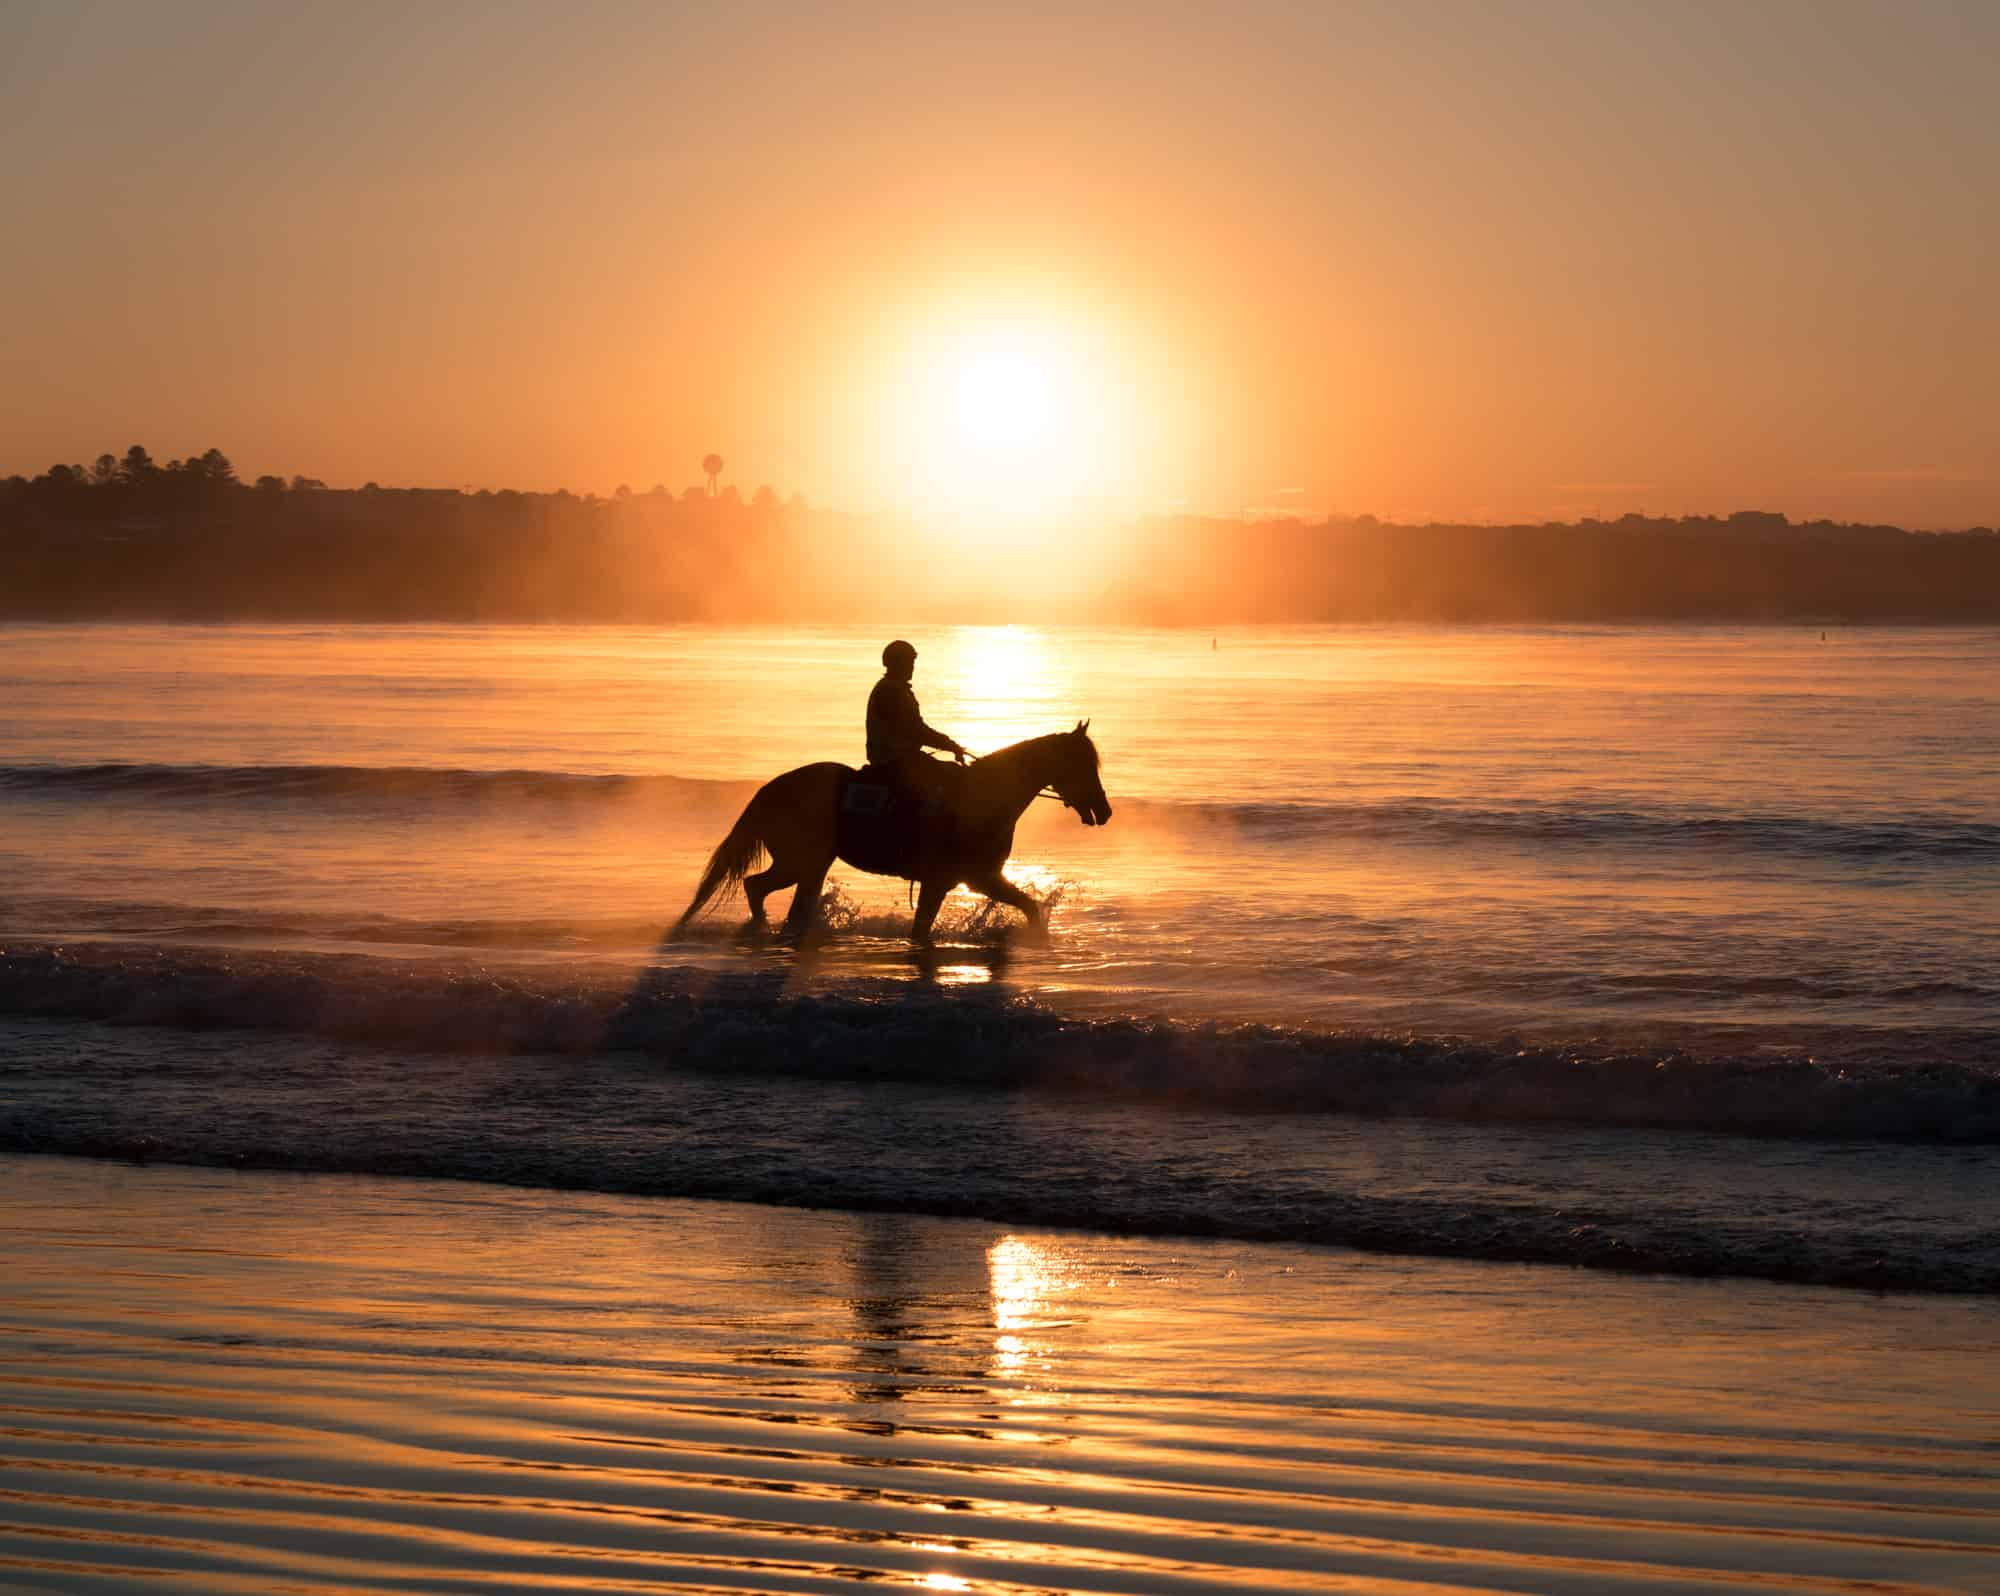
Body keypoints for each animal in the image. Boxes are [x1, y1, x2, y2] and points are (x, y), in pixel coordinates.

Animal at [677, 721, 1111, 942]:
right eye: (1081, 763)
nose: (1104, 811)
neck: (983, 798)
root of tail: (771, 789)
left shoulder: (980, 878)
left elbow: (1029, 907)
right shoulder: (955, 879)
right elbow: (923, 927)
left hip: (808, 864)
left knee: (772, 895)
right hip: (801, 862)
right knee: (760, 889)